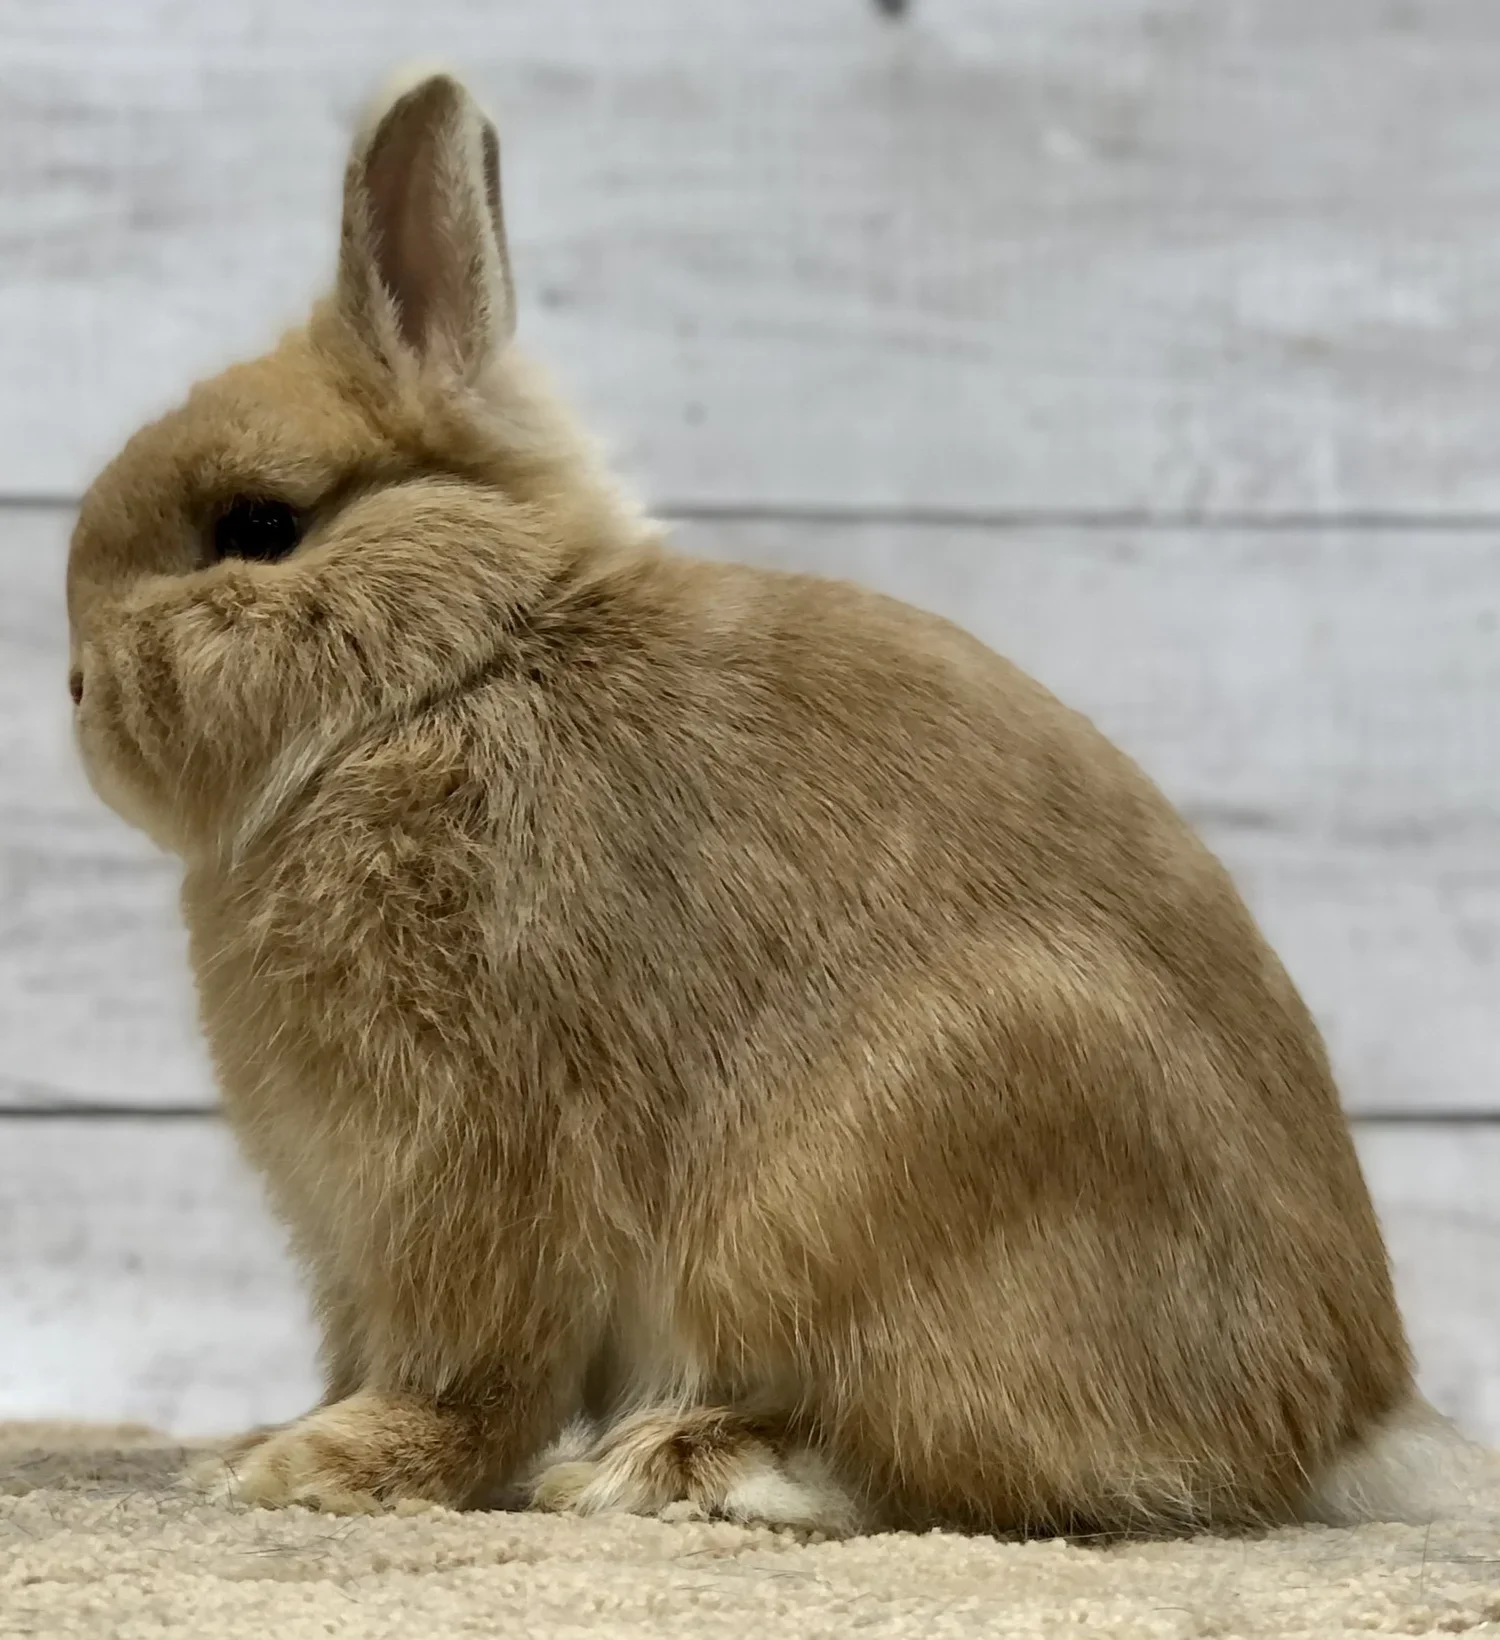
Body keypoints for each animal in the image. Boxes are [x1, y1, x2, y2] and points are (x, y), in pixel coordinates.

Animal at [64, 66, 1481, 1536]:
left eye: (258, 528)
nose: (74, 688)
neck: (450, 672)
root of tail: (1348, 1412)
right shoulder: (349, 1228)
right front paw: (256, 1440)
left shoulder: (465, 1164)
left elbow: (469, 1374)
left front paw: (317, 1465)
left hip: (864, 1190)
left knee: (963, 1465)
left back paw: (681, 1464)